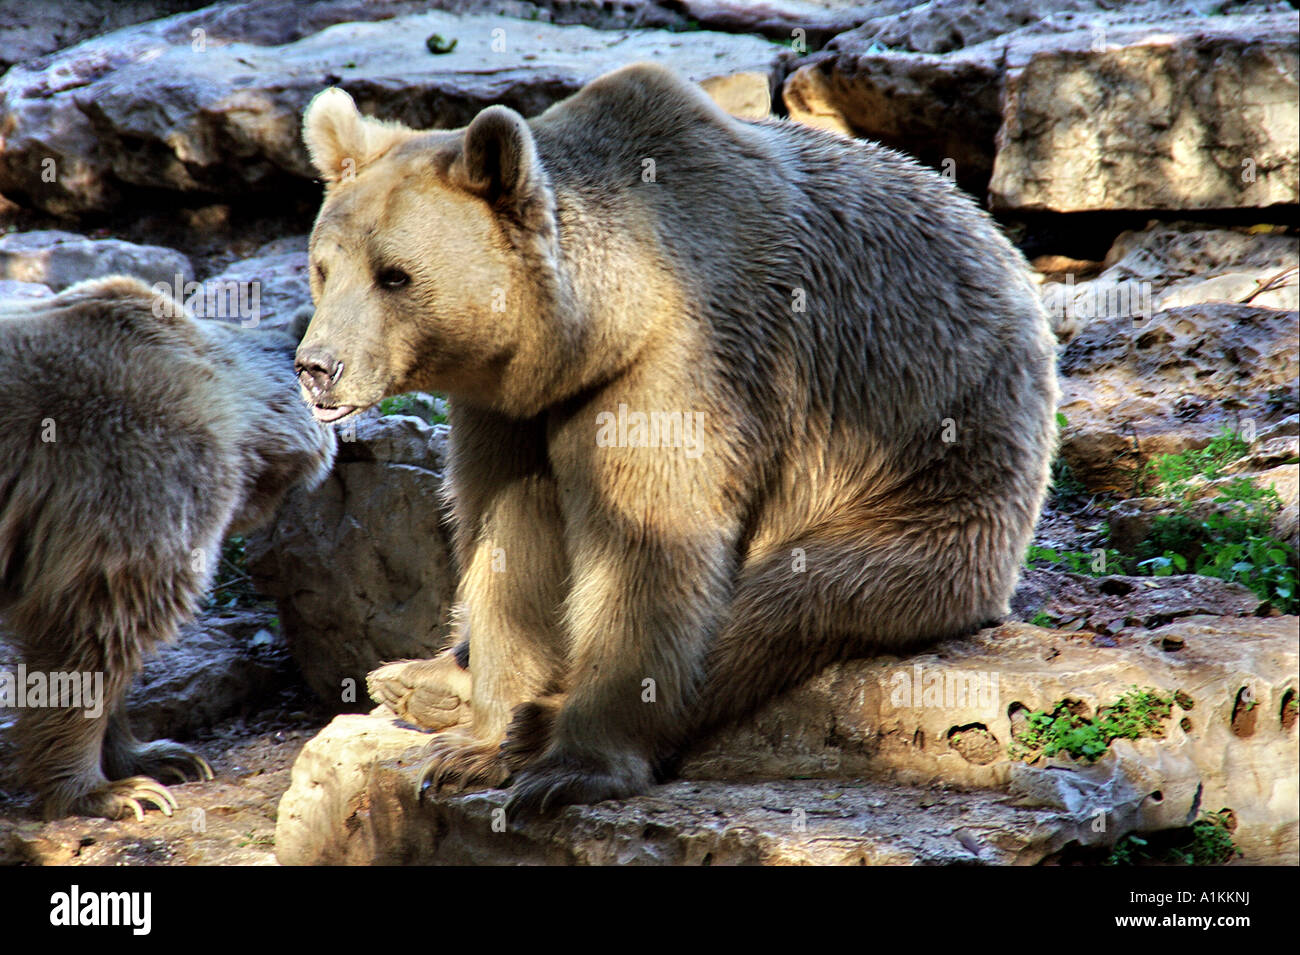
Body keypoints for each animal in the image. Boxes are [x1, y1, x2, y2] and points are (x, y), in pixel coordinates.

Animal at [296, 62, 1059, 815]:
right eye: (324, 267)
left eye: (395, 275)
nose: (316, 367)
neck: (598, 329)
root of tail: (1009, 257)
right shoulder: (510, 414)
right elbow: (506, 541)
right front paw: (472, 745)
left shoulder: (689, 364)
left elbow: (650, 545)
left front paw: (566, 766)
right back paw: (422, 677)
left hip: (931, 467)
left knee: (792, 599)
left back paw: (536, 717)